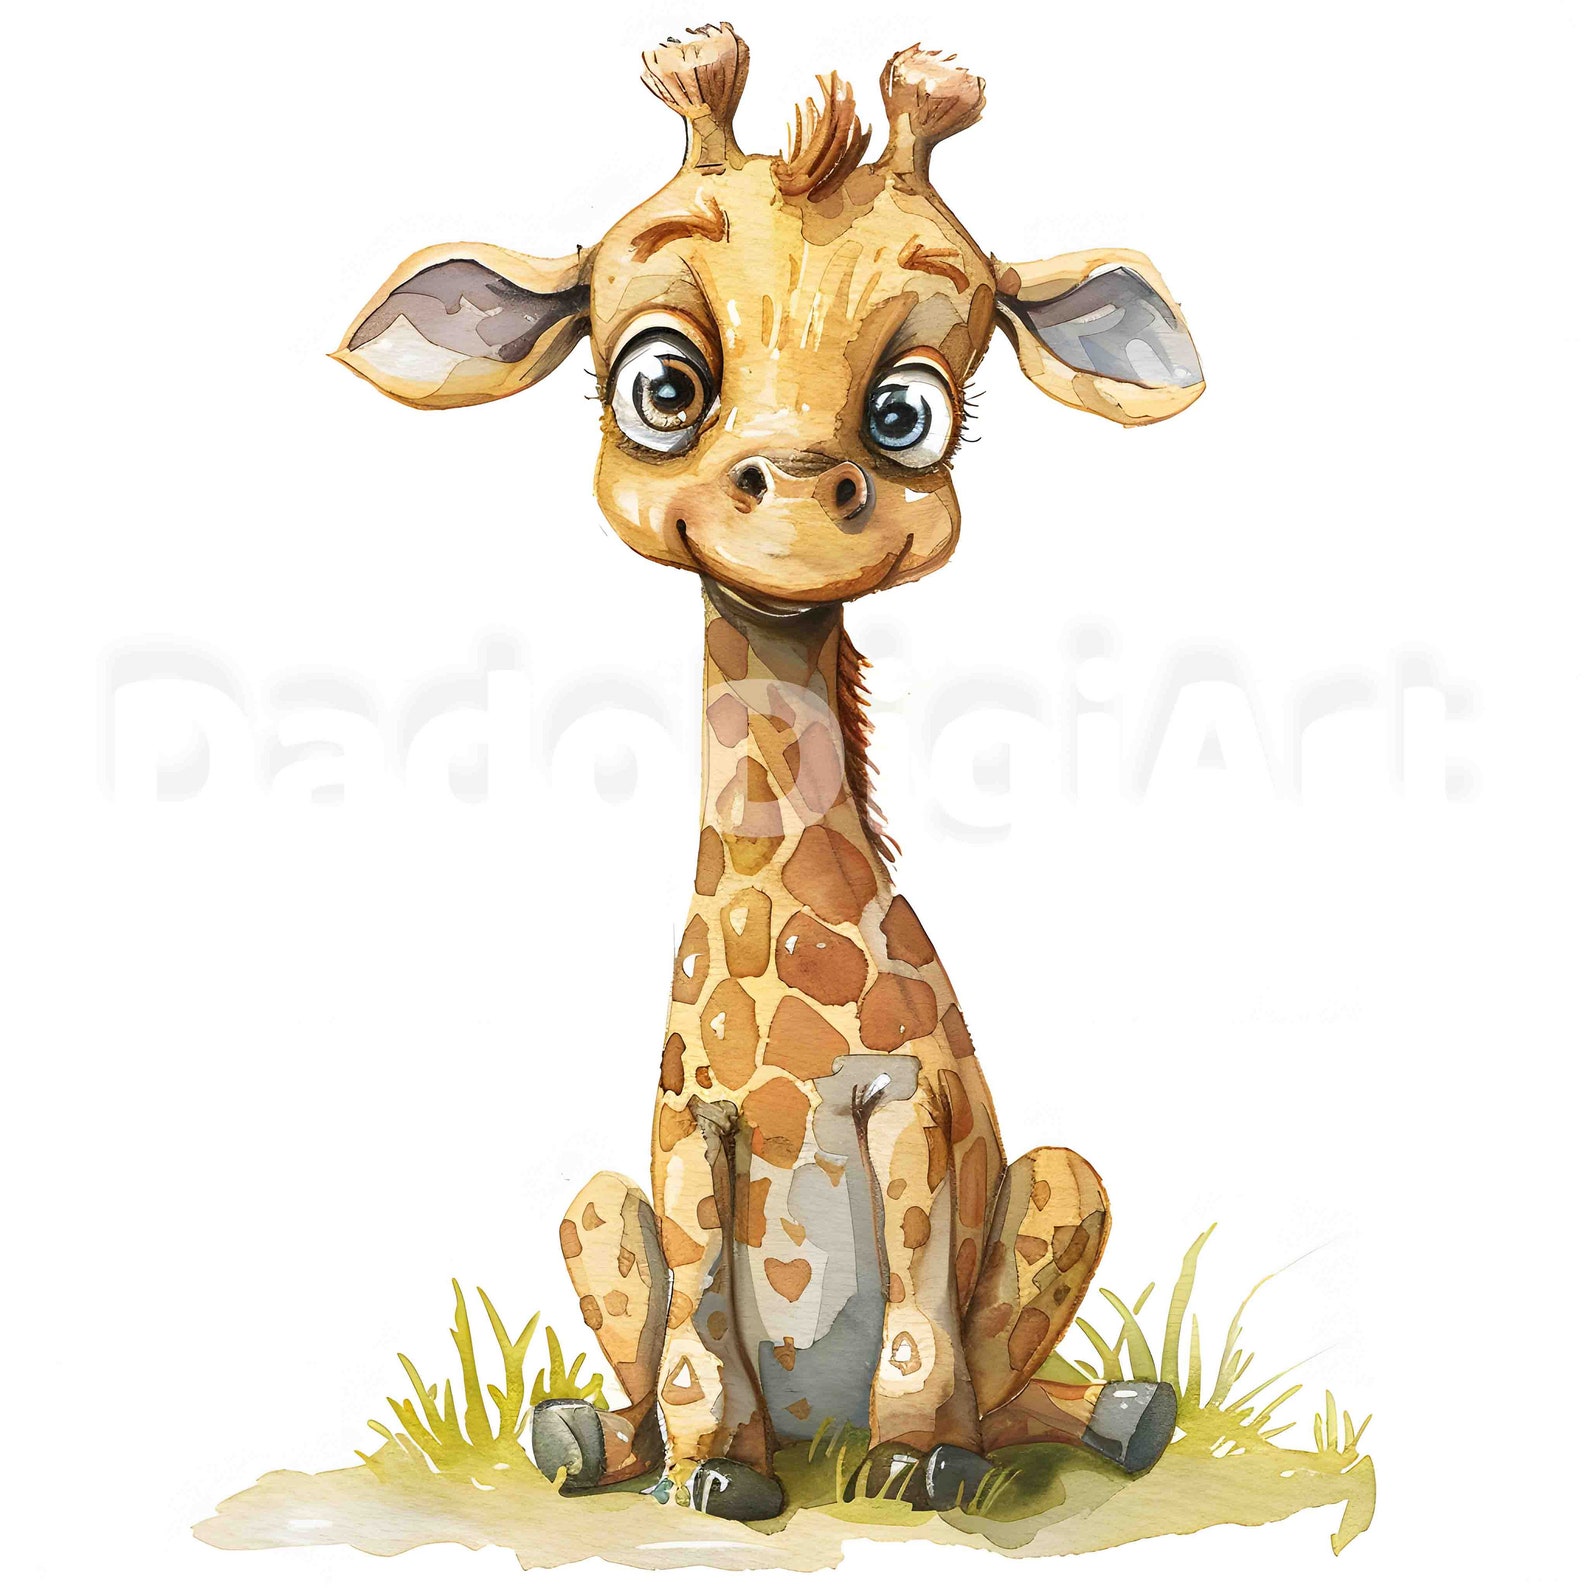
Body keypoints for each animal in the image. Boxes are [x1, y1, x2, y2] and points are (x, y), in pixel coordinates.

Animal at [334, 22, 1204, 1521]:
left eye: (911, 411)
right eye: (661, 384)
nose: (796, 495)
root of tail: (819, 1433)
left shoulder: (906, 1104)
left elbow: (917, 1312)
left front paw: (920, 1456)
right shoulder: (690, 1124)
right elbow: (693, 1328)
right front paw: (715, 1472)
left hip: (1064, 1181)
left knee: (1016, 1374)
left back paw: (1108, 1415)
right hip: (591, 1199)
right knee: (625, 1339)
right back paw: (586, 1439)